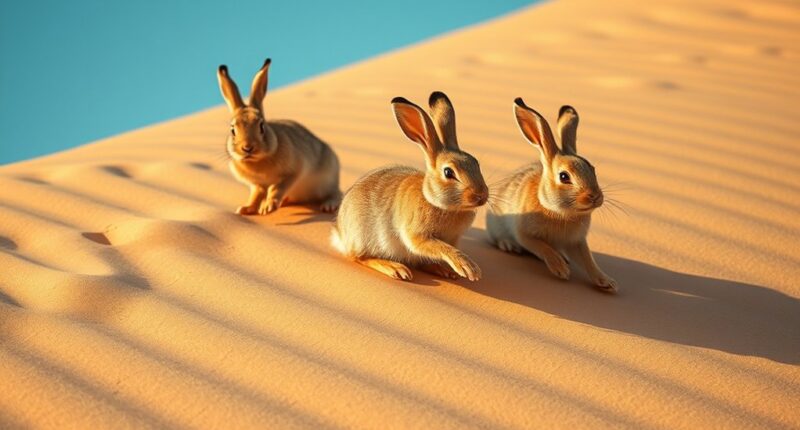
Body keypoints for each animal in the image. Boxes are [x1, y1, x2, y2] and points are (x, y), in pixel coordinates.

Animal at [217, 58, 342, 215]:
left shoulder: (292, 173)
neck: (256, 161)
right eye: (232, 129)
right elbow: (256, 195)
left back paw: (328, 205)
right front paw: (245, 209)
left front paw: (267, 207)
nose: (247, 148)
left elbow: (277, 188)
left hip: (327, 180)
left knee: (336, 193)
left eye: (262, 126)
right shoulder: (257, 185)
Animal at [331, 92, 488, 281]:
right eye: (448, 172)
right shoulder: (416, 235)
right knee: (358, 257)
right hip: (363, 237)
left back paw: (442, 270)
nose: (482, 196)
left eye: (476, 163)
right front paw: (468, 267)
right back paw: (396, 269)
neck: (436, 202)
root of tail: (340, 233)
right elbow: (439, 247)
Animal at [486, 98, 618, 293]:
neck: (560, 213)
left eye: (593, 169)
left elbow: (588, 260)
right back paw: (509, 245)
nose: (595, 197)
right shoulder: (525, 234)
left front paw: (607, 282)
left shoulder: (576, 242)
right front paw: (560, 269)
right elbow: (542, 247)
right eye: (564, 177)